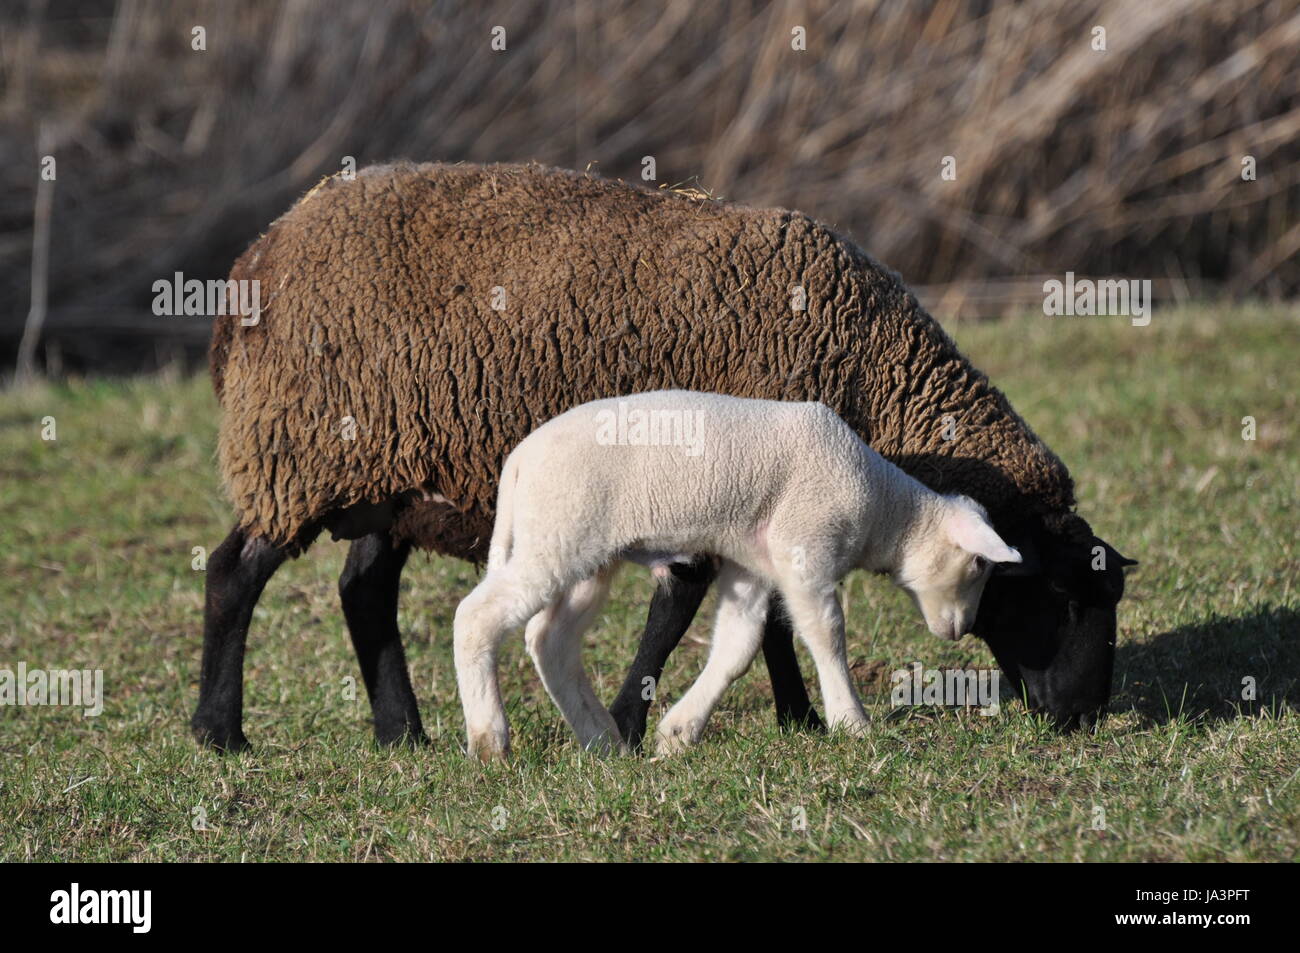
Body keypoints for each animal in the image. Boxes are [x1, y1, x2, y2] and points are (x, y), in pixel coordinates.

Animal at [453, 391, 1023, 760]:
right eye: (979, 564)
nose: (960, 629)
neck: (885, 510)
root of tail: (518, 463)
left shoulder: (752, 565)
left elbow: (738, 645)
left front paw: (678, 734)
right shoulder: (805, 548)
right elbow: (827, 633)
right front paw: (852, 723)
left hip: (586, 554)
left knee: (549, 639)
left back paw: (602, 741)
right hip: (559, 535)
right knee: (476, 618)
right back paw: (490, 742)